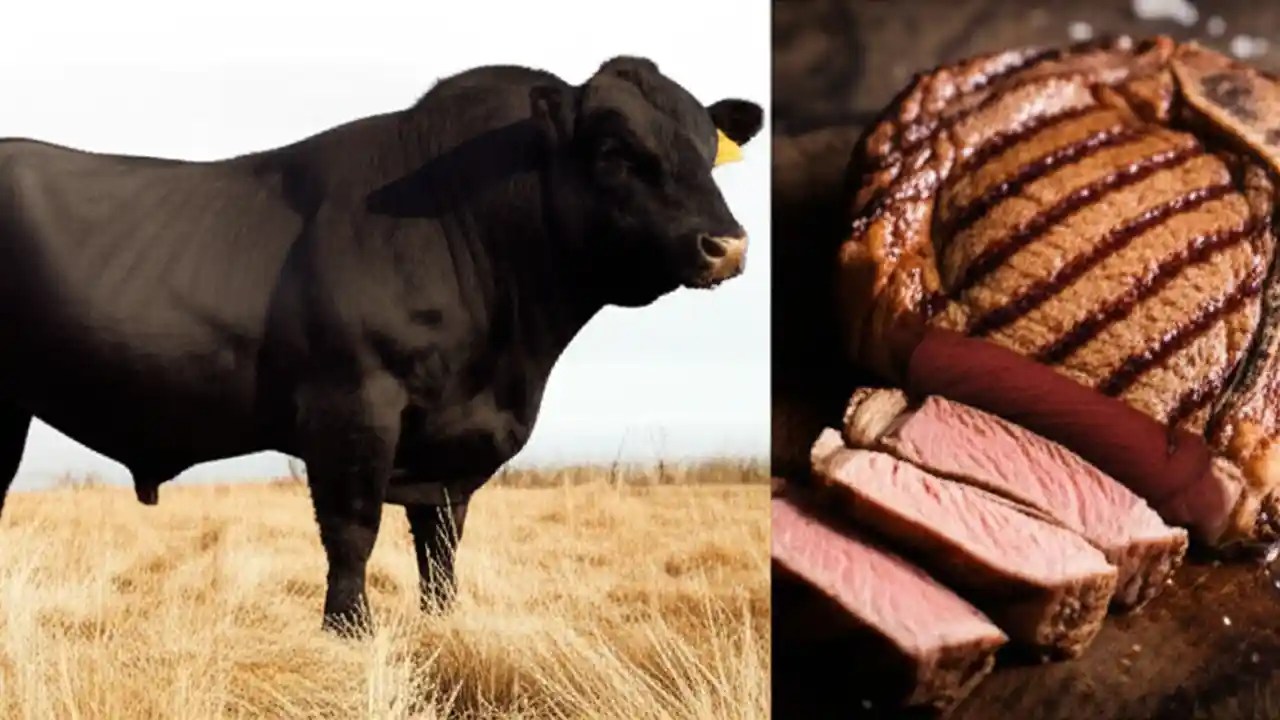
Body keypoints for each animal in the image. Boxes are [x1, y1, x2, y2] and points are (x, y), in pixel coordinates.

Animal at [0, 56, 763, 634]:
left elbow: (441, 545)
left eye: (708, 150)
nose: (726, 244)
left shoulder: (452, 445)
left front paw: (442, 623)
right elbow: (352, 531)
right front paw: (348, 632)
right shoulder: (352, 404)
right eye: (615, 151)